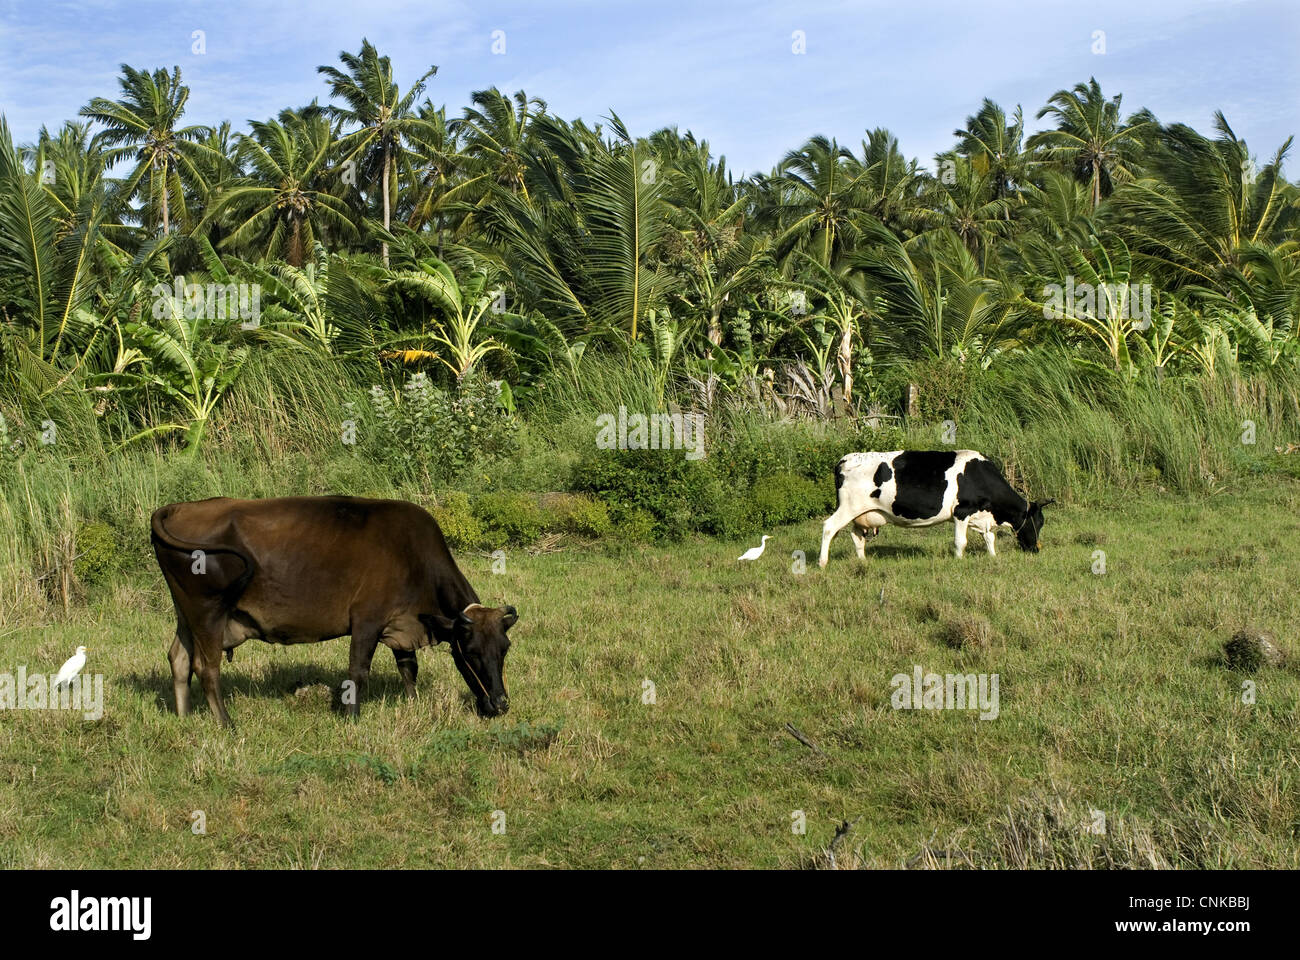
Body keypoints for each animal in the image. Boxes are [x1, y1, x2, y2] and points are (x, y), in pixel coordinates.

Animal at [151, 495, 518, 727]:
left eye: (504, 650)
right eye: (471, 652)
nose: (500, 704)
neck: (413, 555)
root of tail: (179, 507)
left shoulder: (400, 625)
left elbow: (408, 668)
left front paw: (413, 704)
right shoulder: (367, 620)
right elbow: (357, 672)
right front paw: (352, 718)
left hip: (186, 613)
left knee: (179, 658)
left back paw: (184, 718)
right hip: (207, 613)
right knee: (205, 667)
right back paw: (226, 724)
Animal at [818, 450, 1053, 567]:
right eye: (1037, 522)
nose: (1036, 549)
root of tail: (845, 459)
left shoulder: (980, 516)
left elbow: (990, 537)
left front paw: (993, 557)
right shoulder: (962, 511)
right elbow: (961, 541)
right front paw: (959, 561)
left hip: (862, 513)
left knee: (857, 537)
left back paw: (863, 562)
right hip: (849, 507)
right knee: (829, 527)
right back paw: (822, 563)